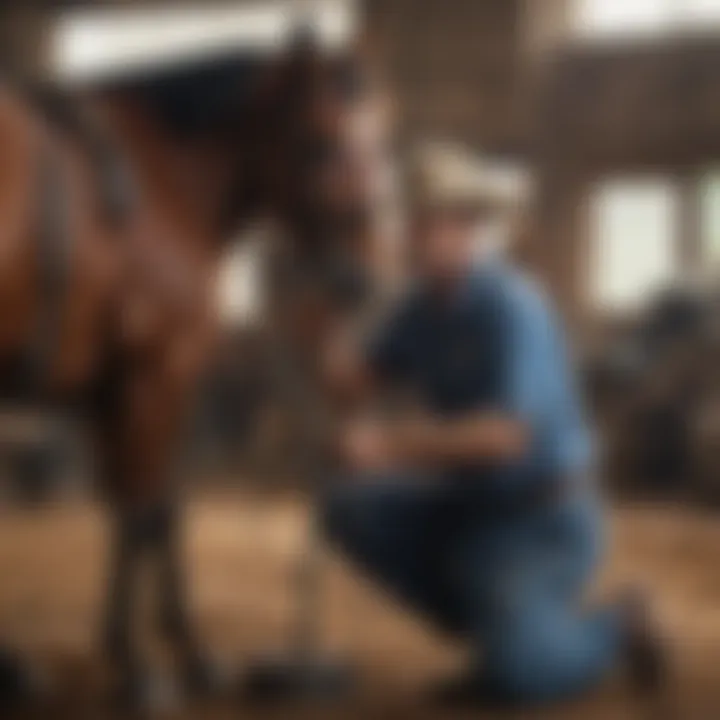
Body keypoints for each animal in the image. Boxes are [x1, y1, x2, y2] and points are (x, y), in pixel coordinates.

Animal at [0, 31, 394, 704]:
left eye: (379, 140)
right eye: (317, 139)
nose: (360, 278)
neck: (162, 181)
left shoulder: (135, 386)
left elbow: (154, 511)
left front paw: (184, 656)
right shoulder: (153, 374)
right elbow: (143, 512)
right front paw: (143, 668)